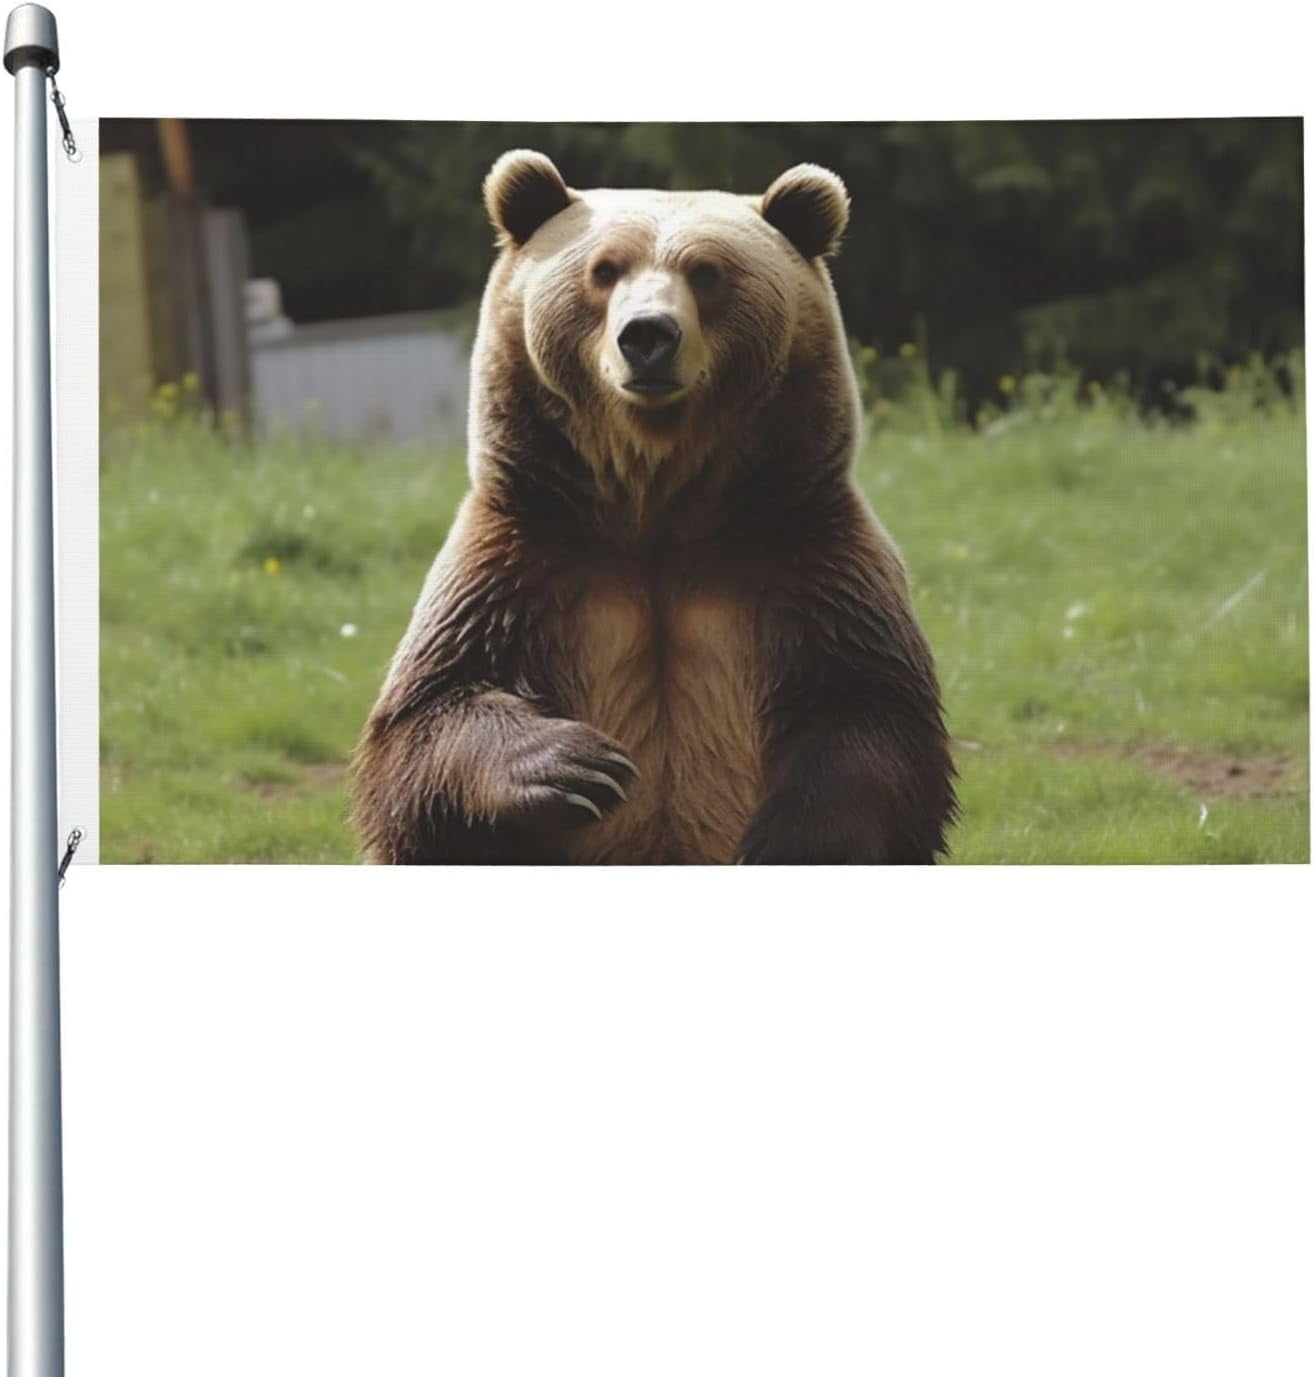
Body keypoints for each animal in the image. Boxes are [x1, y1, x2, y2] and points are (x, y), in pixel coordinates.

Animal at [350, 150, 957, 864]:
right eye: (604, 269)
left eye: (707, 272)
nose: (647, 336)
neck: (655, 507)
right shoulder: (526, 562)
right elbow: (427, 718)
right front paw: (582, 766)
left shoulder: (804, 558)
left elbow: (871, 714)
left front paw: (783, 839)